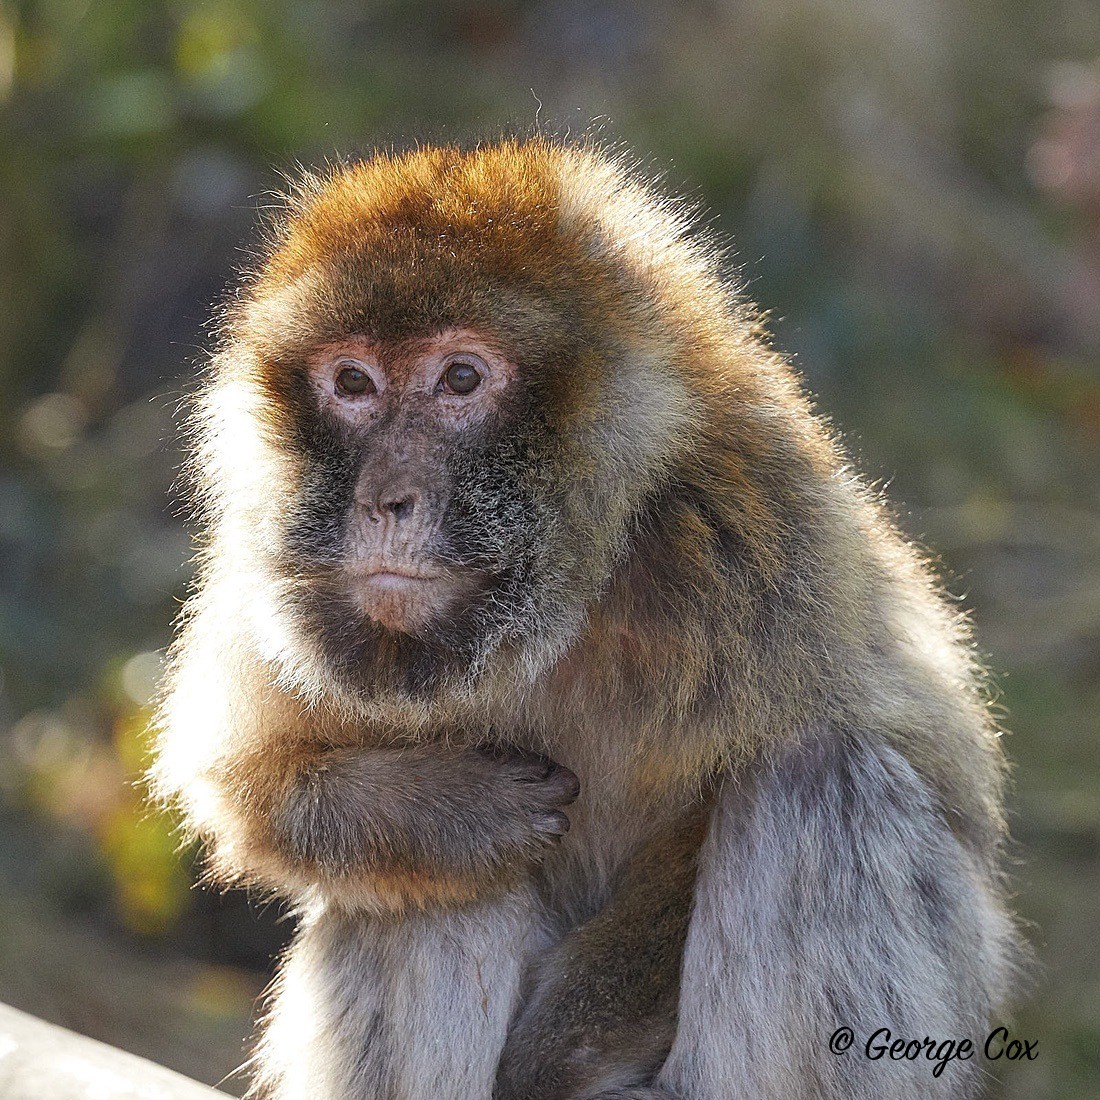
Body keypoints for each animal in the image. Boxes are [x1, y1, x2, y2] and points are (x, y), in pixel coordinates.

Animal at [150, 136, 1021, 1100]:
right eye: (353, 383)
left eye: (461, 378)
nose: (384, 500)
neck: (558, 611)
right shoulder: (265, 560)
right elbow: (242, 781)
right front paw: (450, 809)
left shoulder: (749, 546)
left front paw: (546, 1062)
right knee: (435, 887)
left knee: (827, 775)